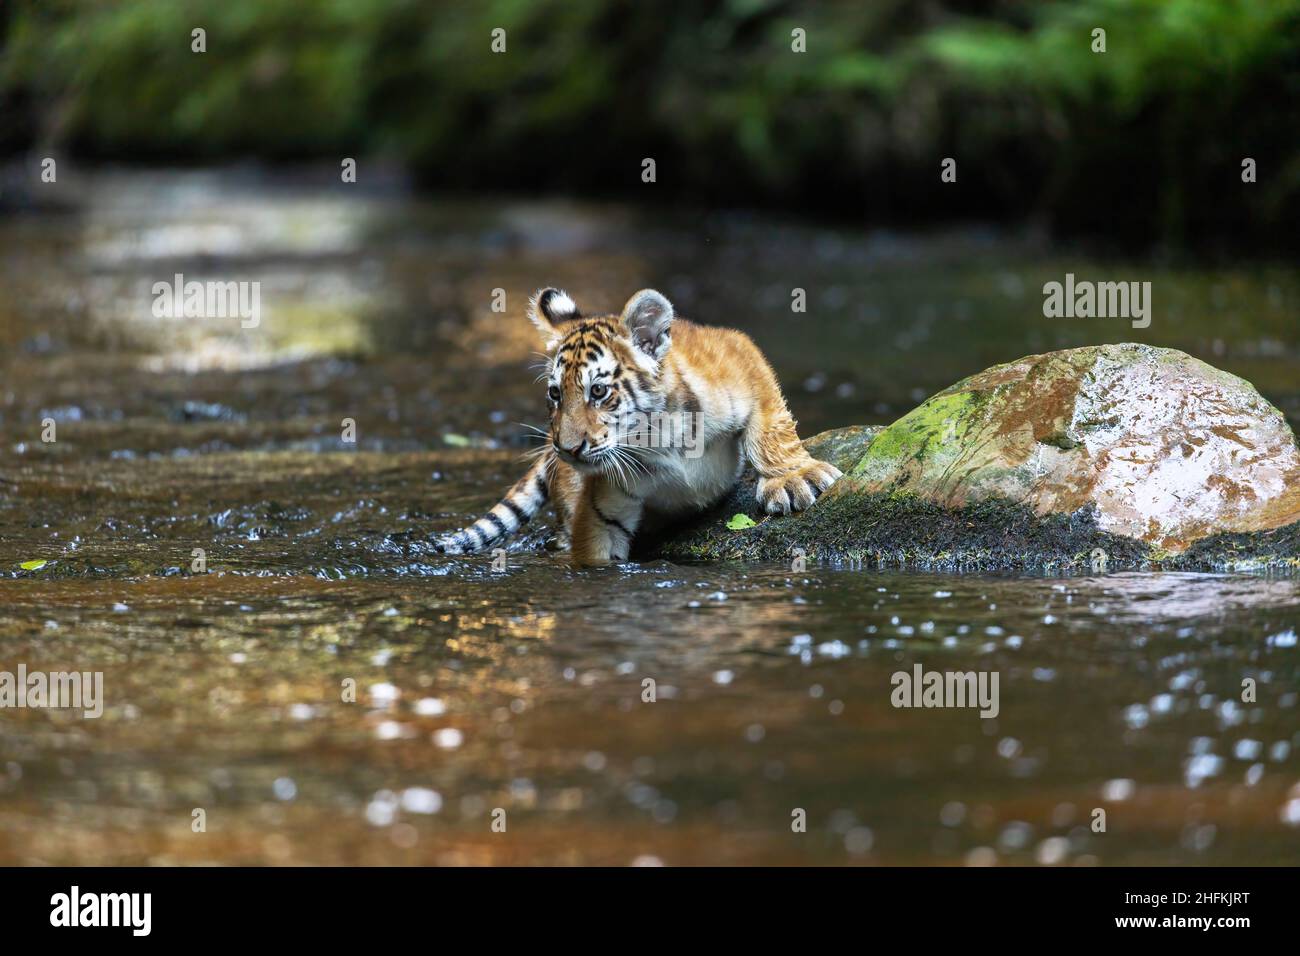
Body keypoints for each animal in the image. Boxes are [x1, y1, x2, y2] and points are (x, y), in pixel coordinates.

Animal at [434, 287, 842, 564]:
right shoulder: (605, 503)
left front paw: (792, 479)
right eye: (554, 394)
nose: (566, 449)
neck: (660, 433)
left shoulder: (741, 355)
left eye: (598, 391)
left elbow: (771, 425)